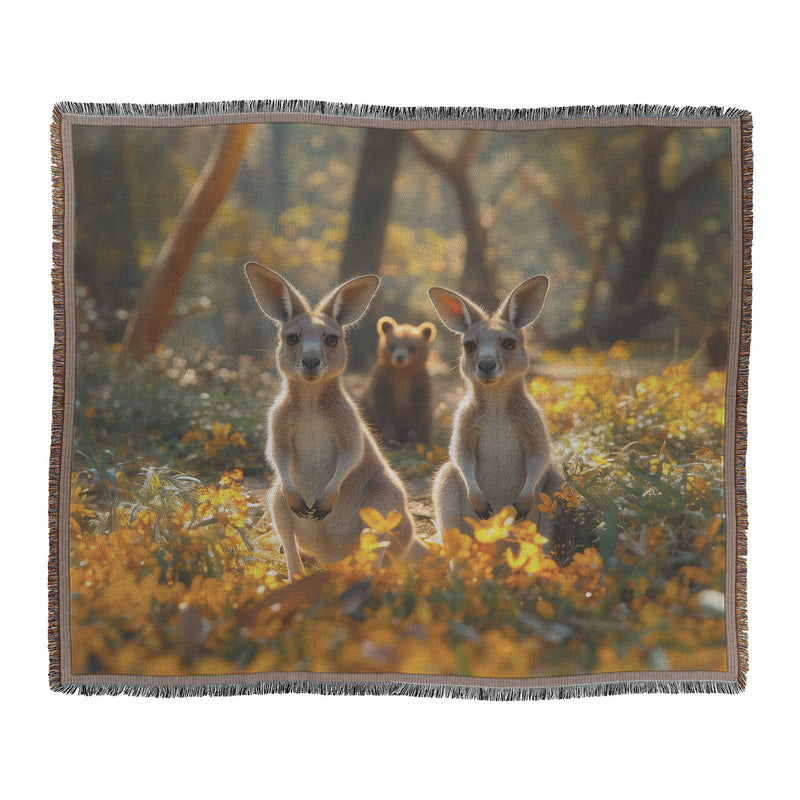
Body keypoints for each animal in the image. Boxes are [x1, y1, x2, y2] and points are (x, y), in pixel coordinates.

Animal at [362, 316, 436, 447]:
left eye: (412, 347)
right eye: (392, 346)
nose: (400, 358)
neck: (402, 373)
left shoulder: (420, 381)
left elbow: (420, 406)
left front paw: (413, 434)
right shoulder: (383, 379)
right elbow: (381, 404)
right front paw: (390, 432)